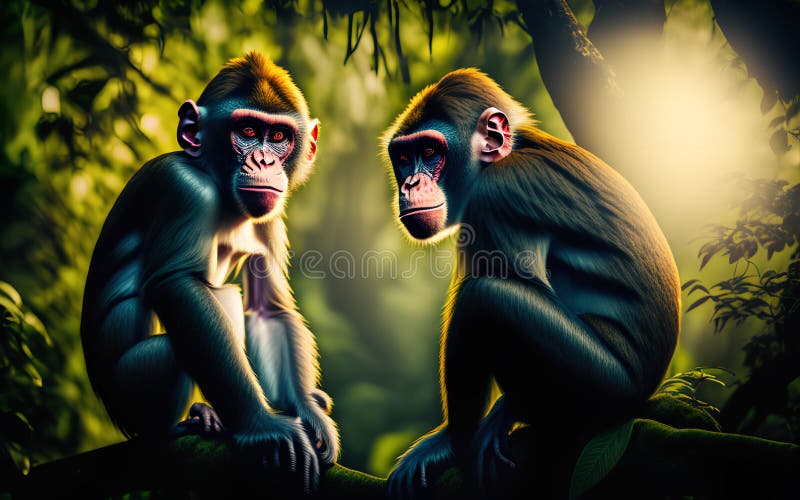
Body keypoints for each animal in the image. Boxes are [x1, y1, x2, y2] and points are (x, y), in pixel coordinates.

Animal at [80, 52, 338, 492]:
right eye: (247, 131)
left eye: (279, 136)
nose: (264, 161)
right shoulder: (183, 188)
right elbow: (178, 286)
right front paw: (264, 426)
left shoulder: (272, 213)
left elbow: (268, 309)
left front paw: (308, 411)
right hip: (131, 386)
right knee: (199, 318)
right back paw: (178, 427)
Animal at [381, 69, 680, 497]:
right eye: (405, 158)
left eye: (431, 151)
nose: (410, 184)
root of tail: (645, 393)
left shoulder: (498, 195)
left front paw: (460, 439)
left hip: (604, 386)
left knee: (485, 298)